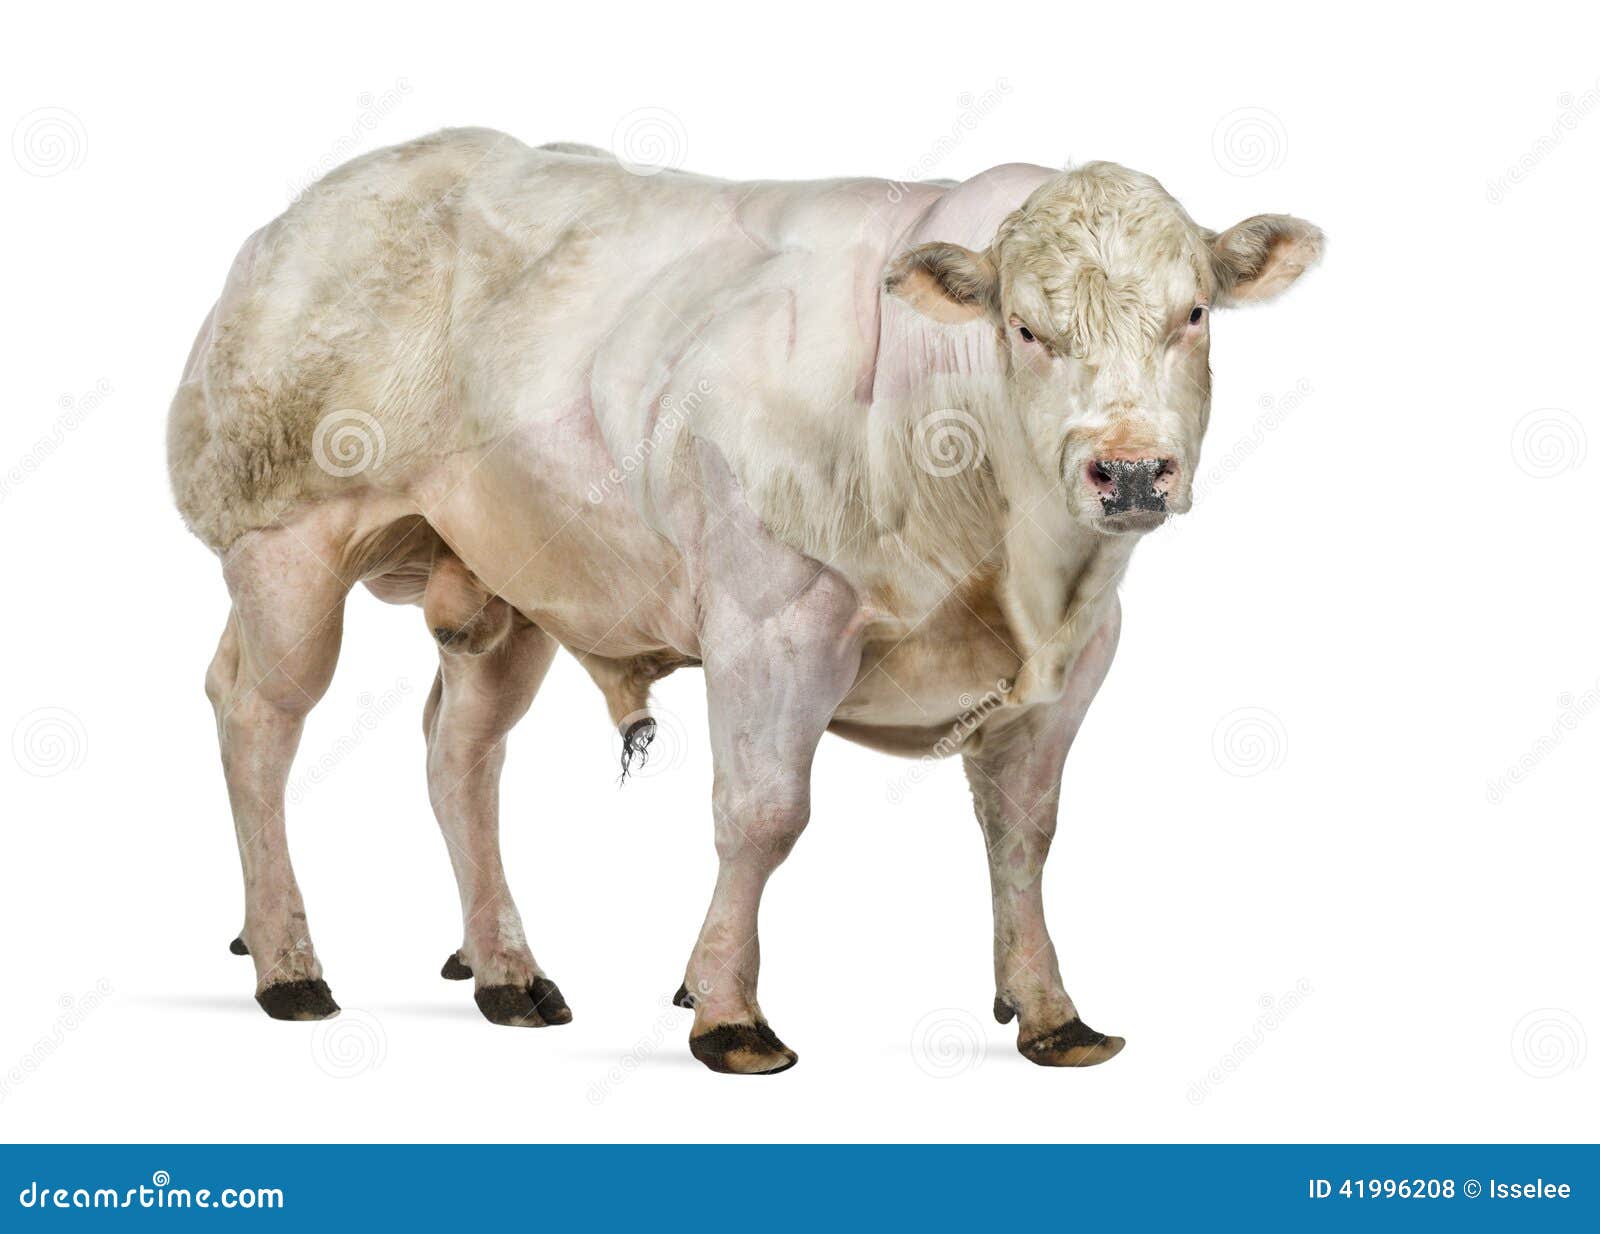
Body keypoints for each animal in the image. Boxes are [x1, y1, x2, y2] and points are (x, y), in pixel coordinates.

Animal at [168, 128, 1321, 1074]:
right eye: (1028, 329)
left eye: (1193, 313)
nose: (1128, 471)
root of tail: (317, 201)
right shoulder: (773, 626)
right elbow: (763, 815)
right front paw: (726, 1011)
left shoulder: (1074, 665)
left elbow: (1023, 832)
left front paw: (1050, 1011)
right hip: (284, 538)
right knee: (256, 717)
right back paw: (288, 962)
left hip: (511, 585)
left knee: (459, 753)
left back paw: (504, 969)